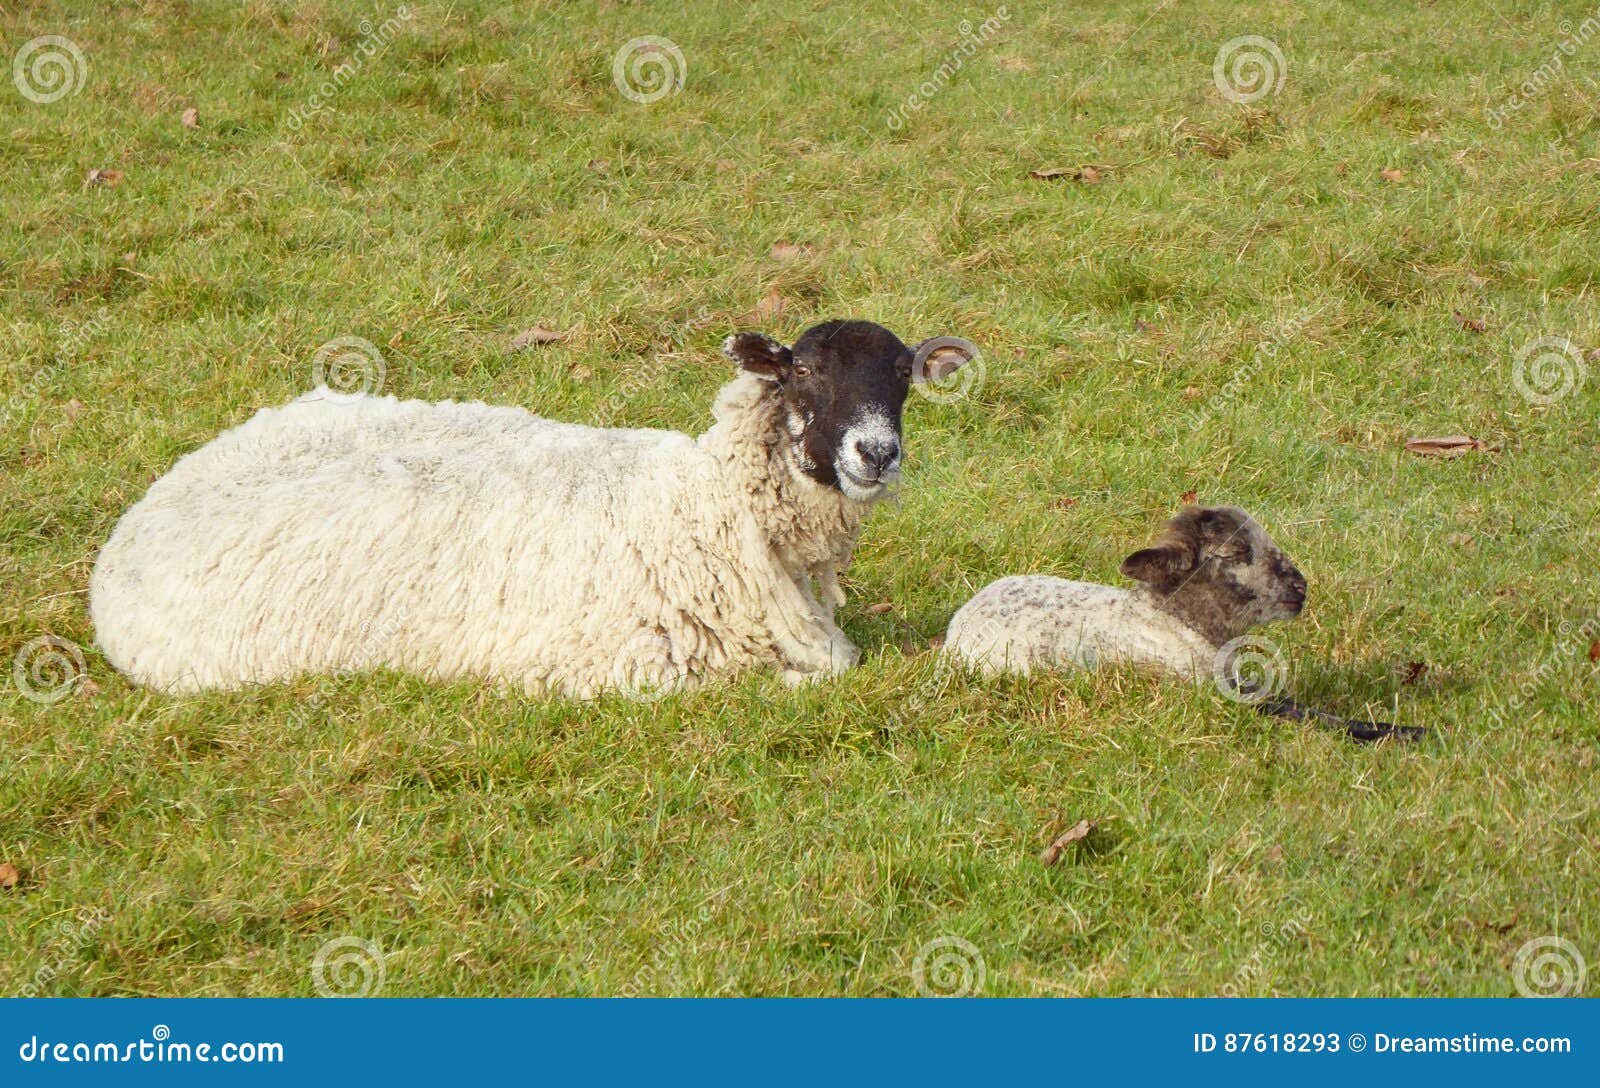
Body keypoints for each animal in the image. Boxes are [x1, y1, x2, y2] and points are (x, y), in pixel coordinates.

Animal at [943, 506, 1424, 742]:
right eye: (1236, 554)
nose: (1300, 586)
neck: (1170, 621)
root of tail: (956, 626)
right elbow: (1300, 711)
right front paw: (1407, 732)